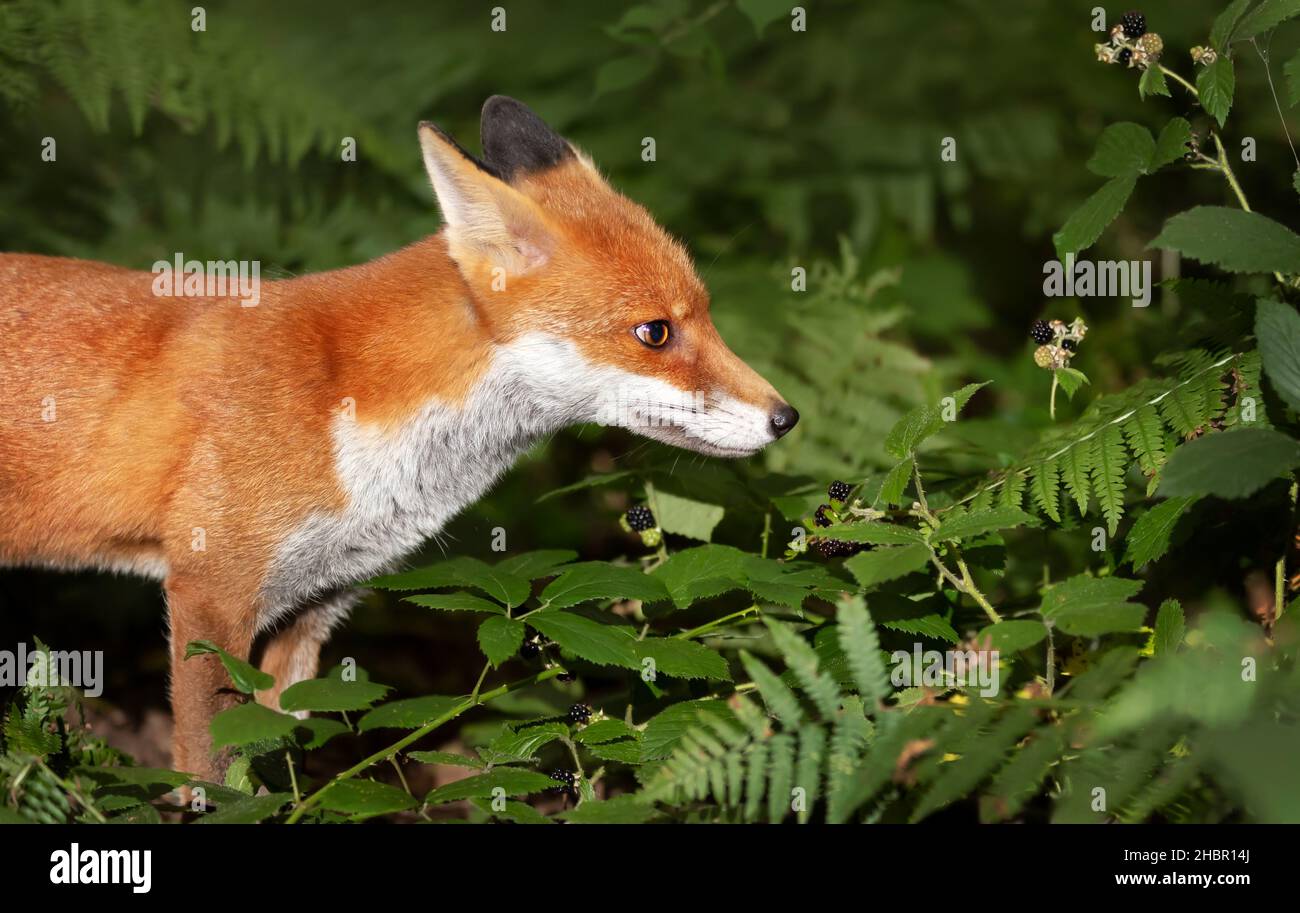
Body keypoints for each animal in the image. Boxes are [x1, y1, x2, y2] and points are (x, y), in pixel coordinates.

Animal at [0, 96, 798, 781]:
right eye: (655, 333)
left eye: (706, 313)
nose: (785, 417)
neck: (351, 405)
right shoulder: (210, 595)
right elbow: (211, 772)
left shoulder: (311, 609)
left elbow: (275, 758)